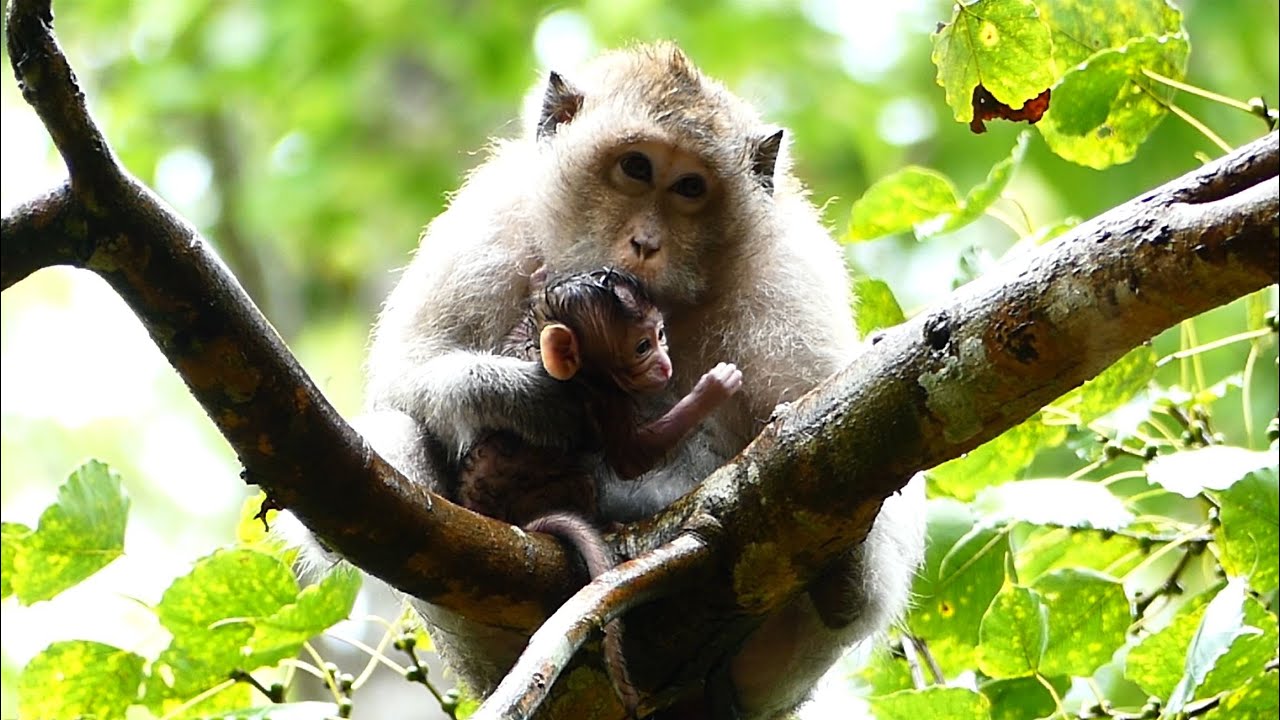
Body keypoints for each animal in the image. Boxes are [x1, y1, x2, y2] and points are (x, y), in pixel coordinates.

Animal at [294, 42, 926, 718]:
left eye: (690, 187)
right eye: (636, 167)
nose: (645, 242)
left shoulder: (787, 273)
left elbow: (836, 424)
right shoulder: (490, 224)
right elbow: (405, 376)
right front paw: (528, 396)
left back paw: (843, 578)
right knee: (393, 433)